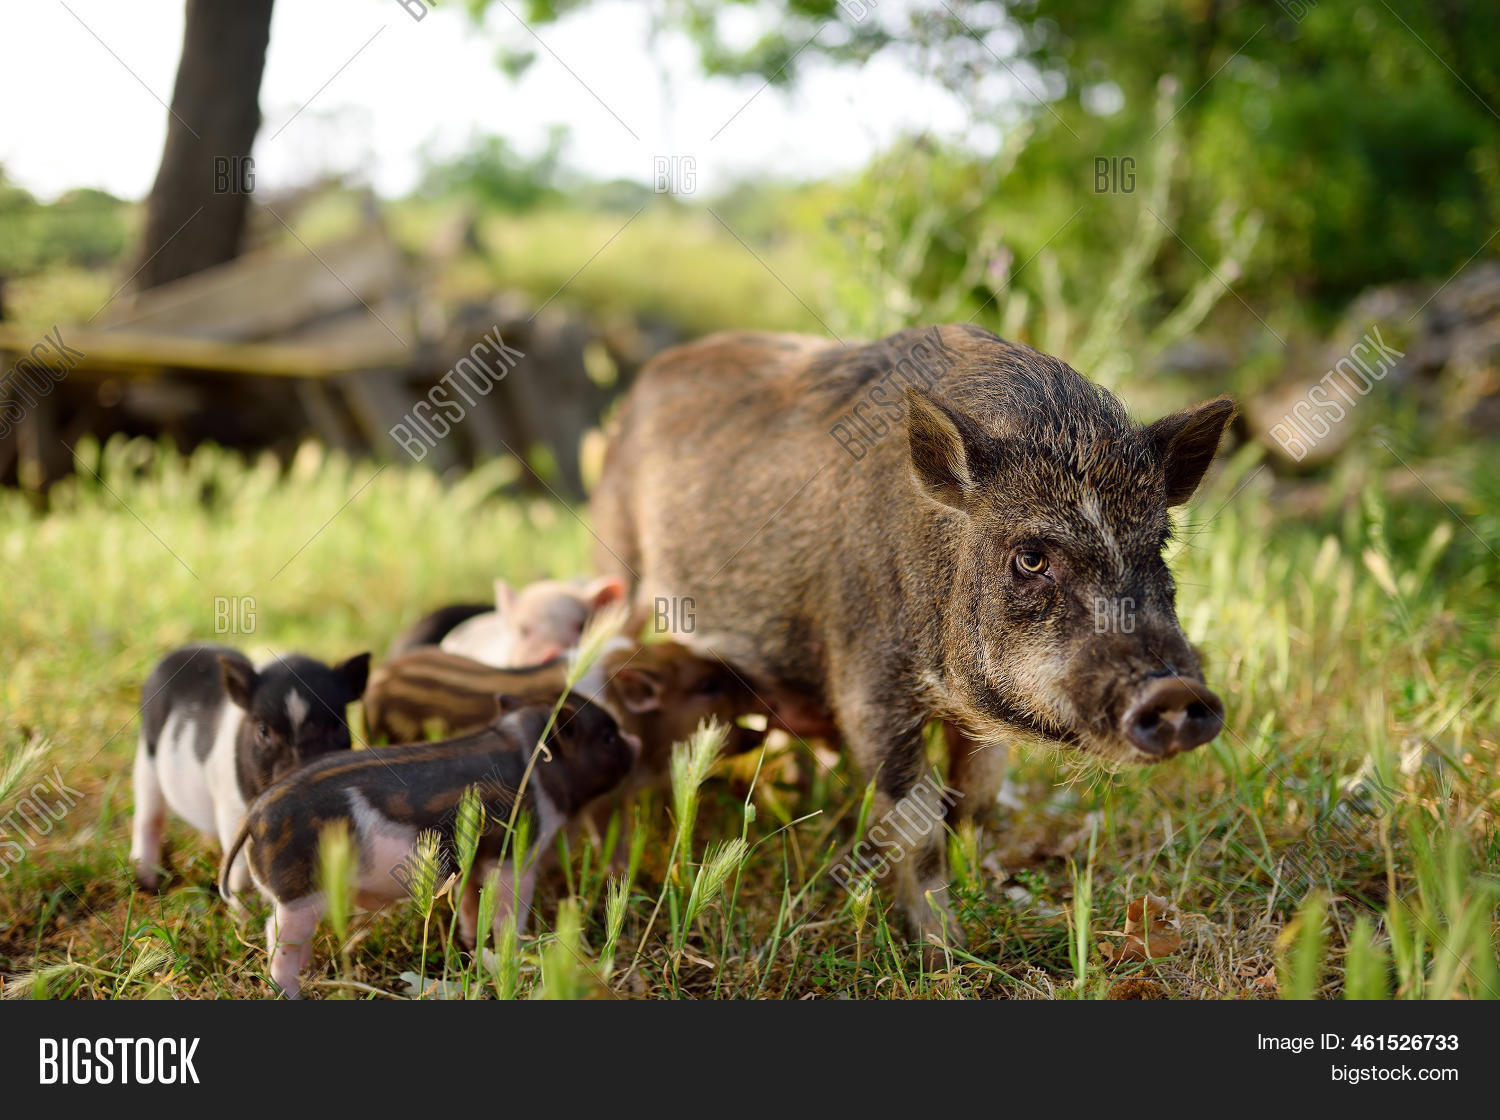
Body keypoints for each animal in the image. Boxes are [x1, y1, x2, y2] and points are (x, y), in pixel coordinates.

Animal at [131, 644, 371, 904]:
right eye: (263, 730)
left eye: (337, 726)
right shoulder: (230, 807)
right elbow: (237, 864)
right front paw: (242, 906)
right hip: (146, 760)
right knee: (148, 817)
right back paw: (146, 881)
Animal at [220, 694, 639, 998]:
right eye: (608, 736)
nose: (636, 741)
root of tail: (255, 813)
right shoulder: (513, 857)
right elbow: (509, 910)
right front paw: (516, 950)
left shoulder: (473, 863)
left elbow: (471, 906)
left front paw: (472, 944)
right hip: (299, 895)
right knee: (277, 938)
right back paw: (291, 991)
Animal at [591, 324, 1232, 949]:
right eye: (1030, 558)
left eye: (1158, 547)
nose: (1173, 690)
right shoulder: (869, 687)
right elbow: (915, 816)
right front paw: (943, 946)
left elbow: (976, 795)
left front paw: (976, 889)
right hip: (618, 559)